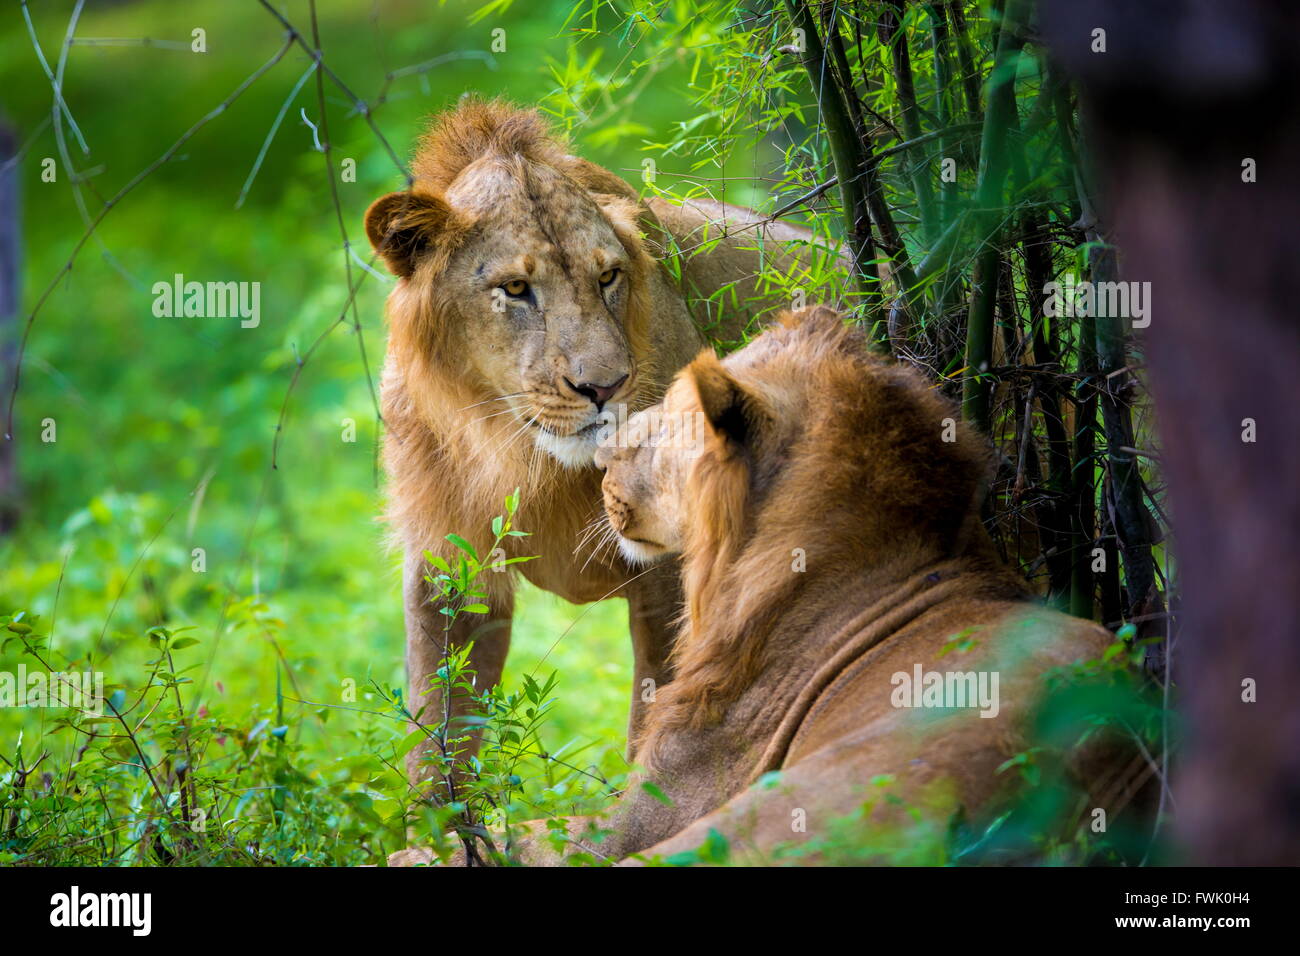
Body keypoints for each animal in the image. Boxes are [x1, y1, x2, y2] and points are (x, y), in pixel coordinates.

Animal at [364, 99, 843, 796]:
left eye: (609, 277)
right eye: (515, 289)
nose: (605, 386)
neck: (519, 450)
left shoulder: (670, 571)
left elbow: (657, 718)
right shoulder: (446, 562)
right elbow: (437, 735)